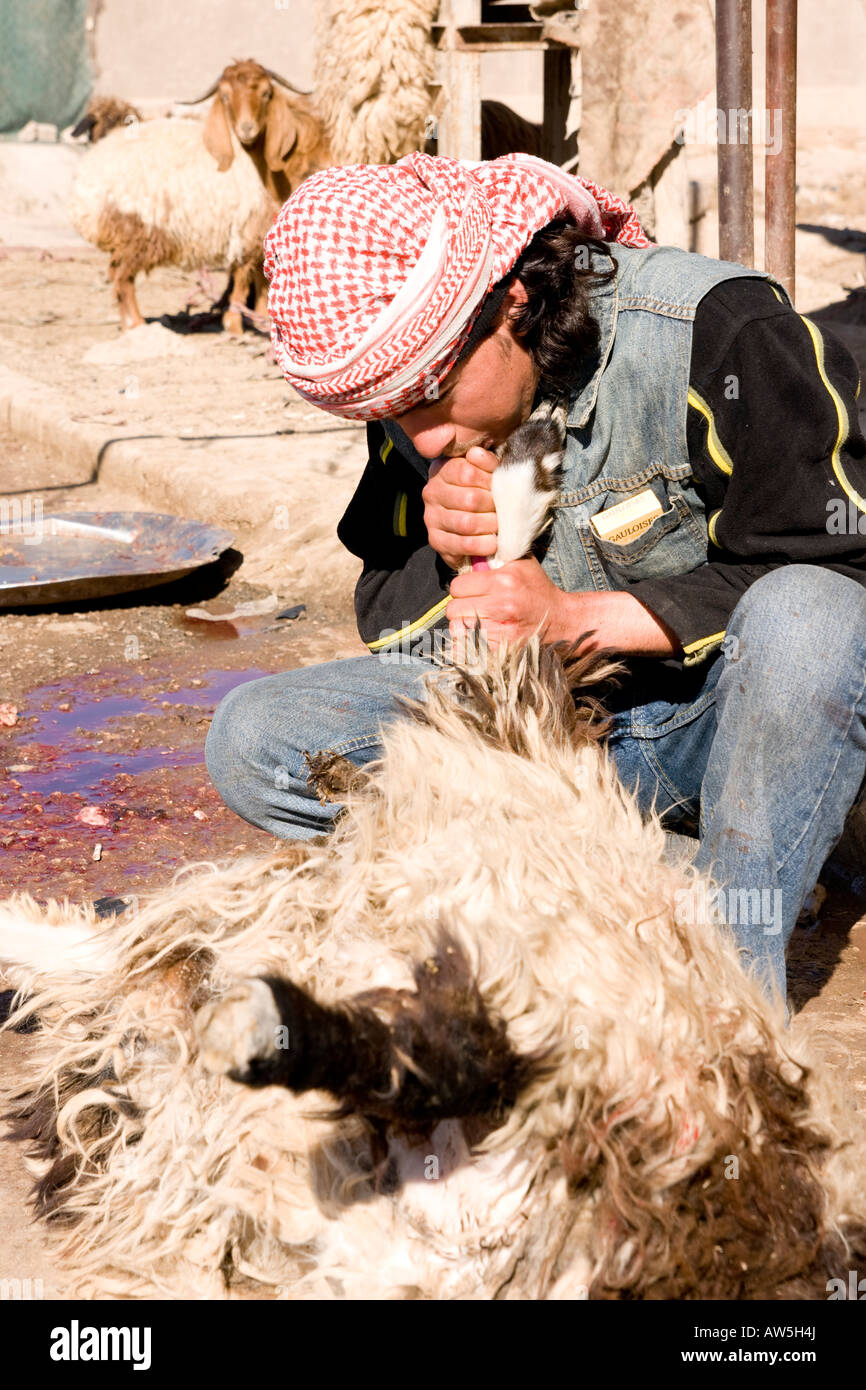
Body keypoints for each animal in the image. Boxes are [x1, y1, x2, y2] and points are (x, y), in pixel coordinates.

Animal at [68, 61, 331, 333]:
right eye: (224, 96)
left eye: (266, 93)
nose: (247, 129)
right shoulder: (247, 231)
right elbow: (244, 279)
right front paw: (235, 324)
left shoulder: (256, 232)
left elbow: (260, 279)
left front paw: (259, 318)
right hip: (137, 232)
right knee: (122, 278)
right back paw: (137, 324)